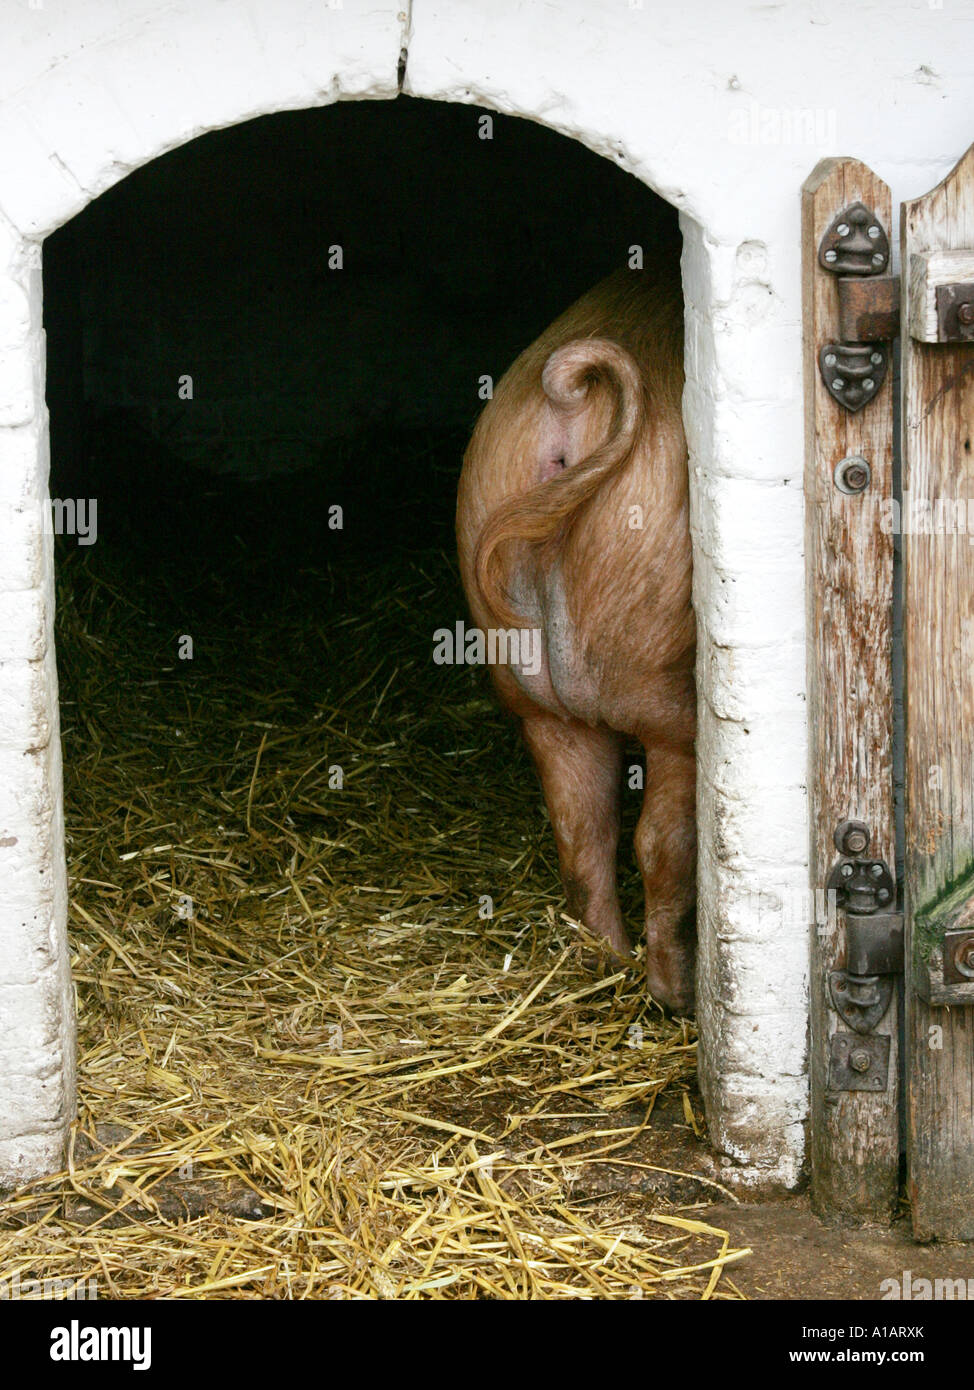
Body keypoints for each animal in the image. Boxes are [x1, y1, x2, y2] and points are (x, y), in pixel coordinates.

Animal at [456, 266, 696, 1012]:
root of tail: (572, 408)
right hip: (669, 689)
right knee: (659, 841)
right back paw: (673, 998)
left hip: (530, 686)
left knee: (579, 828)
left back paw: (604, 965)